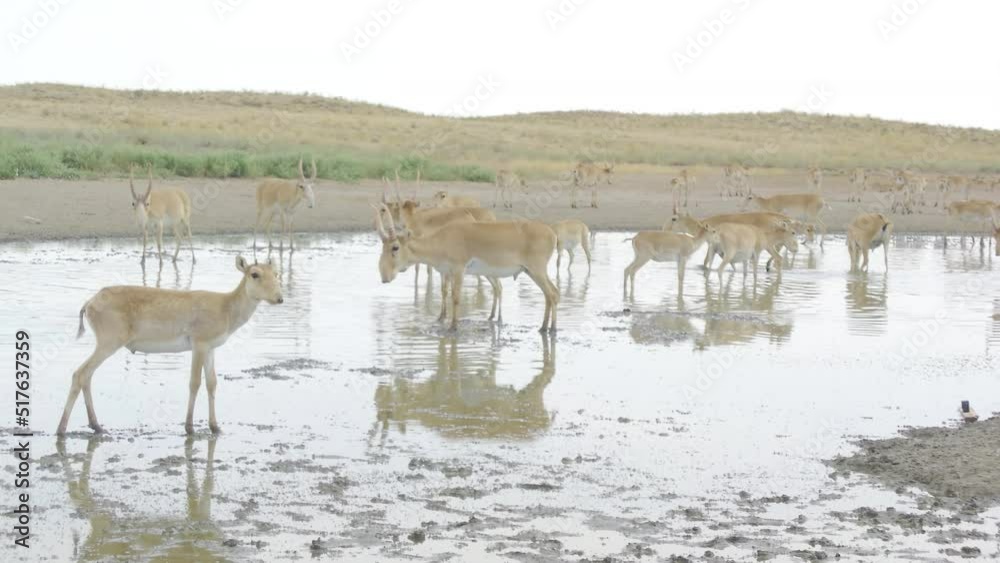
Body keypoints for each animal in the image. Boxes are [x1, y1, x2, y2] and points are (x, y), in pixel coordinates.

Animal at [56, 255, 284, 436]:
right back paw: (62, 429)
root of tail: (90, 302)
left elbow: (212, 383)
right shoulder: (199, 345)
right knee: (80, 374)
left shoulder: (210, 349)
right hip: (108, 343)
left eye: (276, 273)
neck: (226, 306)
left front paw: (215, 427)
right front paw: (189, 427)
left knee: (87, 376)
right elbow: (194, 383)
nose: (279, 298)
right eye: (254, 274)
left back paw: (96, 426)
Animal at [374, 205, 559, 332]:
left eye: (395, 247)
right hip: (531, 271)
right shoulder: (447, 272)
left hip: (537, 270)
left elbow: (456, 297)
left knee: (551, 294)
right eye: (382, 247)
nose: (384, 276)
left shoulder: (458, 270)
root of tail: (552, 233)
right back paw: (547, 327)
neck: (442, 240)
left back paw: (548, 329)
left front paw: (453, 326)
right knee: (552, 294)